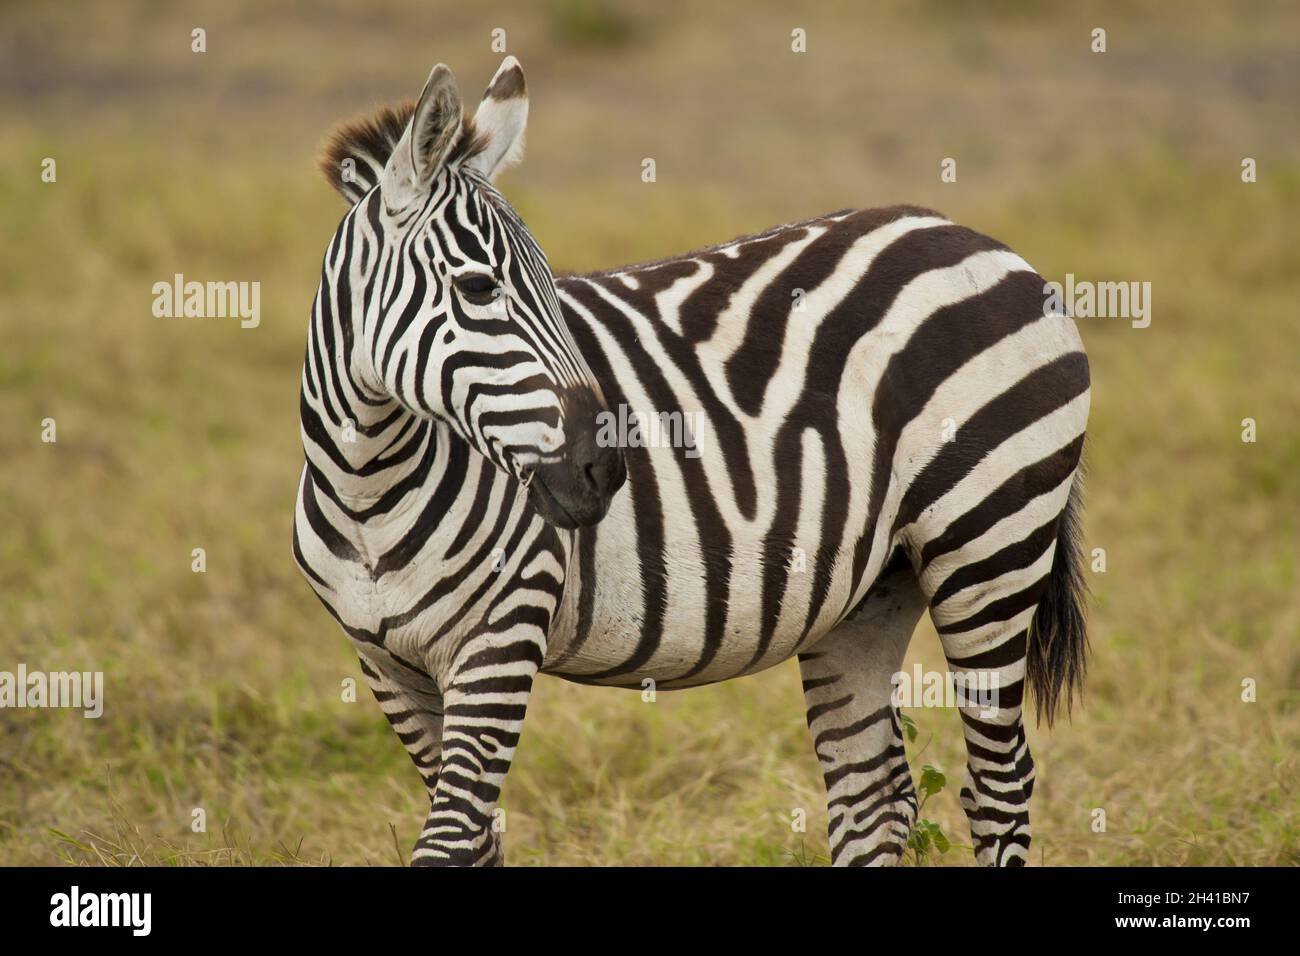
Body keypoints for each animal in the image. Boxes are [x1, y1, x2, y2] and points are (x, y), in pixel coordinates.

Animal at [294, 55, 1091, 867]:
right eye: (479, 287)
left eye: (553, 286)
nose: (604, 469)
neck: (370, 484)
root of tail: (972, 237)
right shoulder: (386, 665)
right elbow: (475, 840)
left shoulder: (500, 636)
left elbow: (452, 838)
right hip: (871, 588)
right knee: (876, 795)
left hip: (989, 545)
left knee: (998, 783)